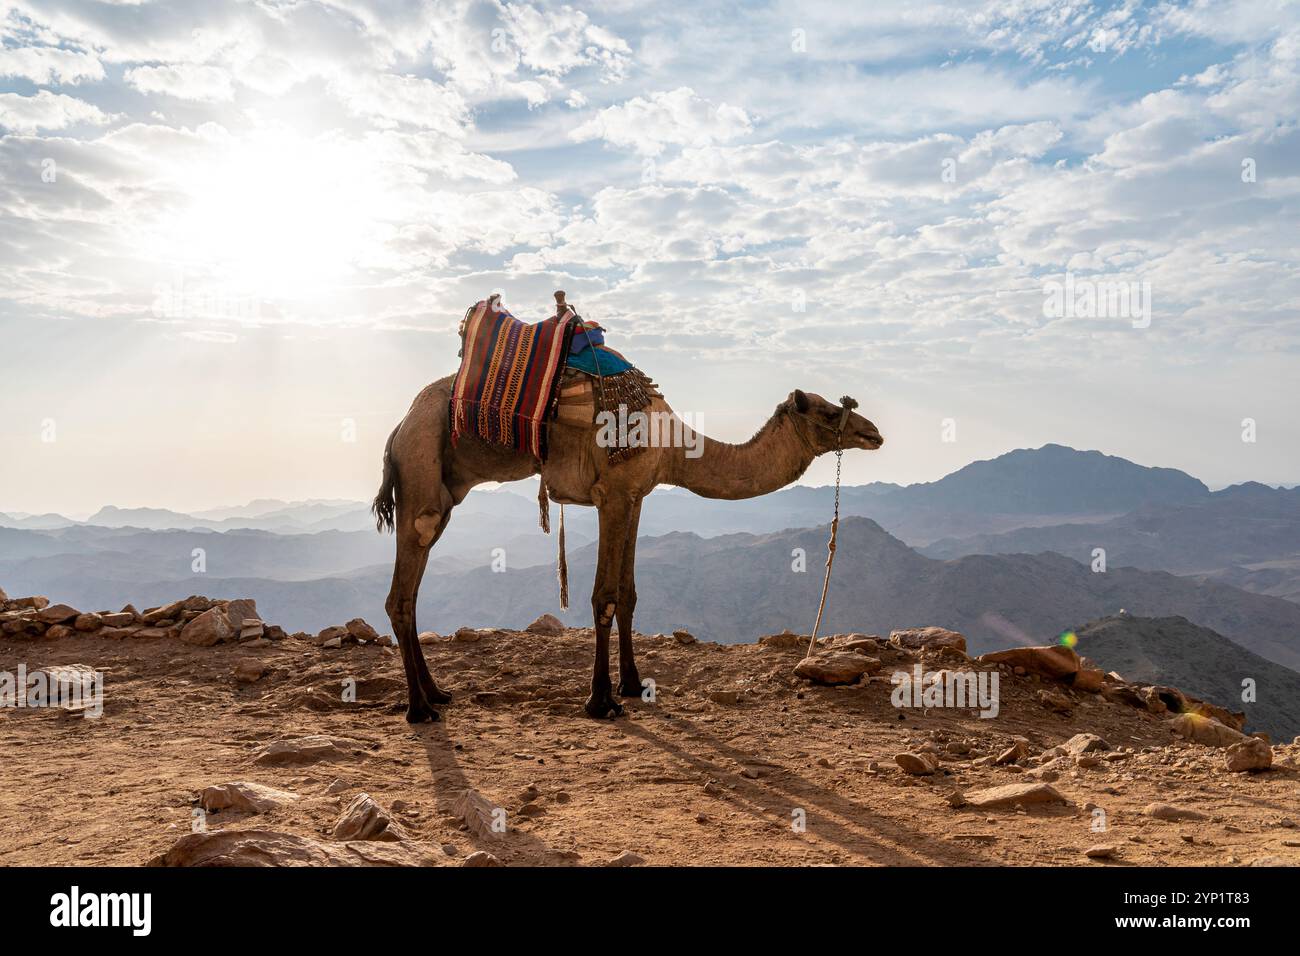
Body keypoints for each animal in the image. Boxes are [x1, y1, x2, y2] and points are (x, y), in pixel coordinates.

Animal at [373, 339, 884, 722]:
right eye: (825, 411)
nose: (873, 431)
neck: (673, 443)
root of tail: (397, 428)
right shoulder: (613, 495)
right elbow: (604, 596)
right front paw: (601, 701)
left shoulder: (637, 497)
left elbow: (629, 593)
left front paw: (634, 685)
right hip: (421, 470)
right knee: (401, 592)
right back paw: (420, 709)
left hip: (441, 489)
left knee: (411, 591)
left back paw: (437, 693)